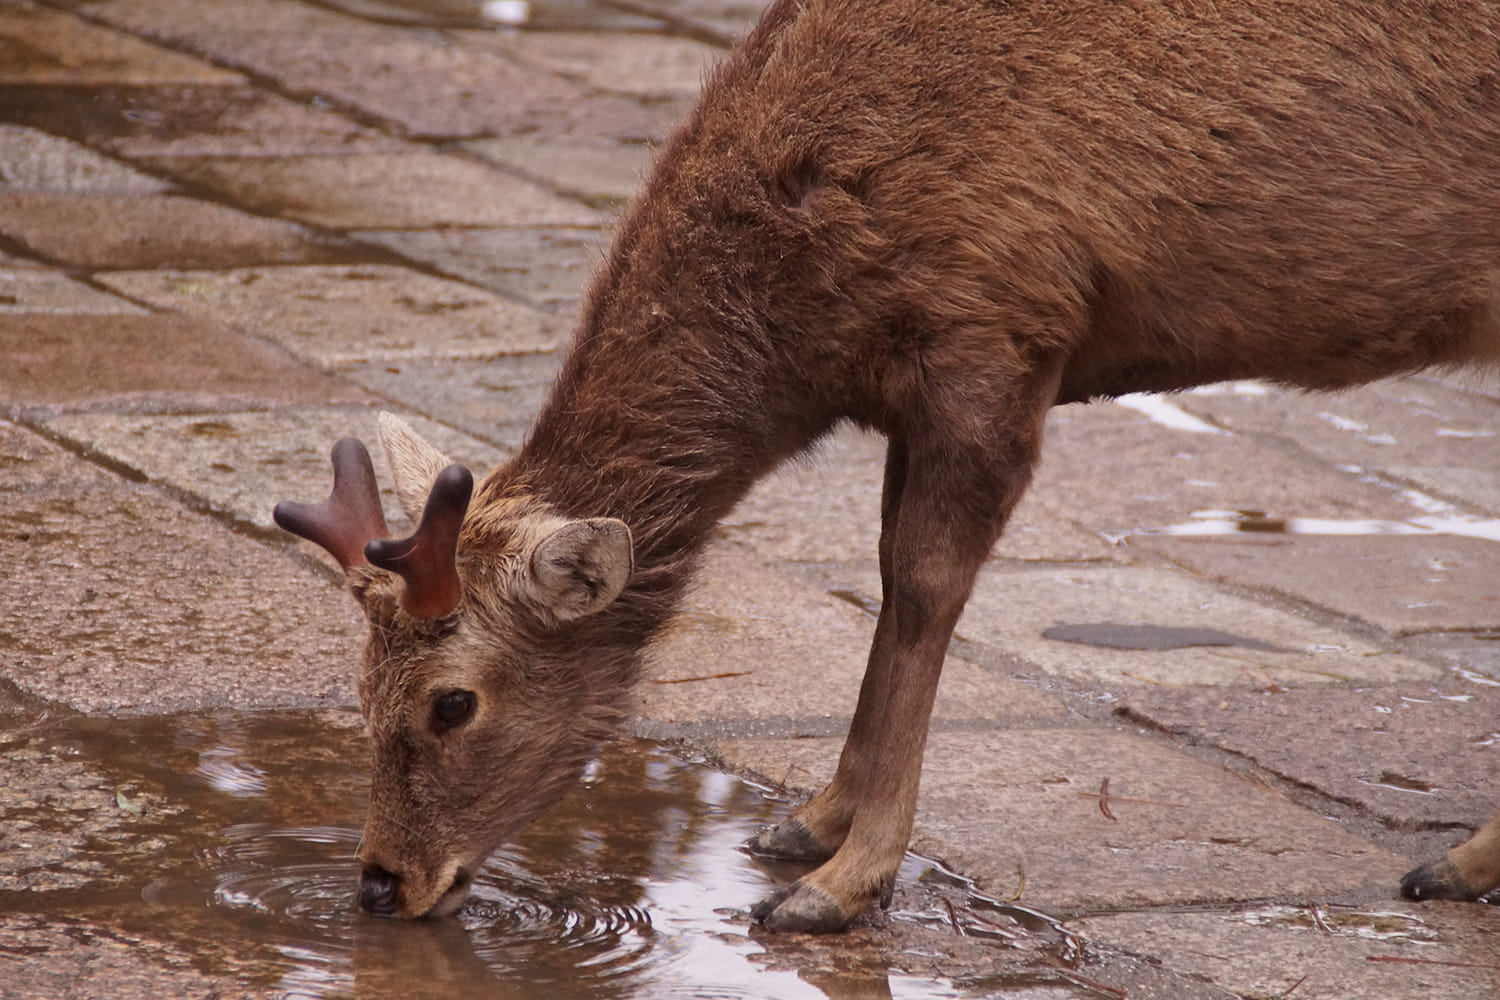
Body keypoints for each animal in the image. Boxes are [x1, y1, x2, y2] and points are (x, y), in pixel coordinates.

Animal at [274, 0, 1500, 932]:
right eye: (357, 682)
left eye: (452, 703)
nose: (381, 883)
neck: (806, 321)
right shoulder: (913, 395)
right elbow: (879, 578)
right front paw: (809, 821)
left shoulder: (998, 334)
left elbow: (923, 590)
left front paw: (839, 886)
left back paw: (1454, 865)